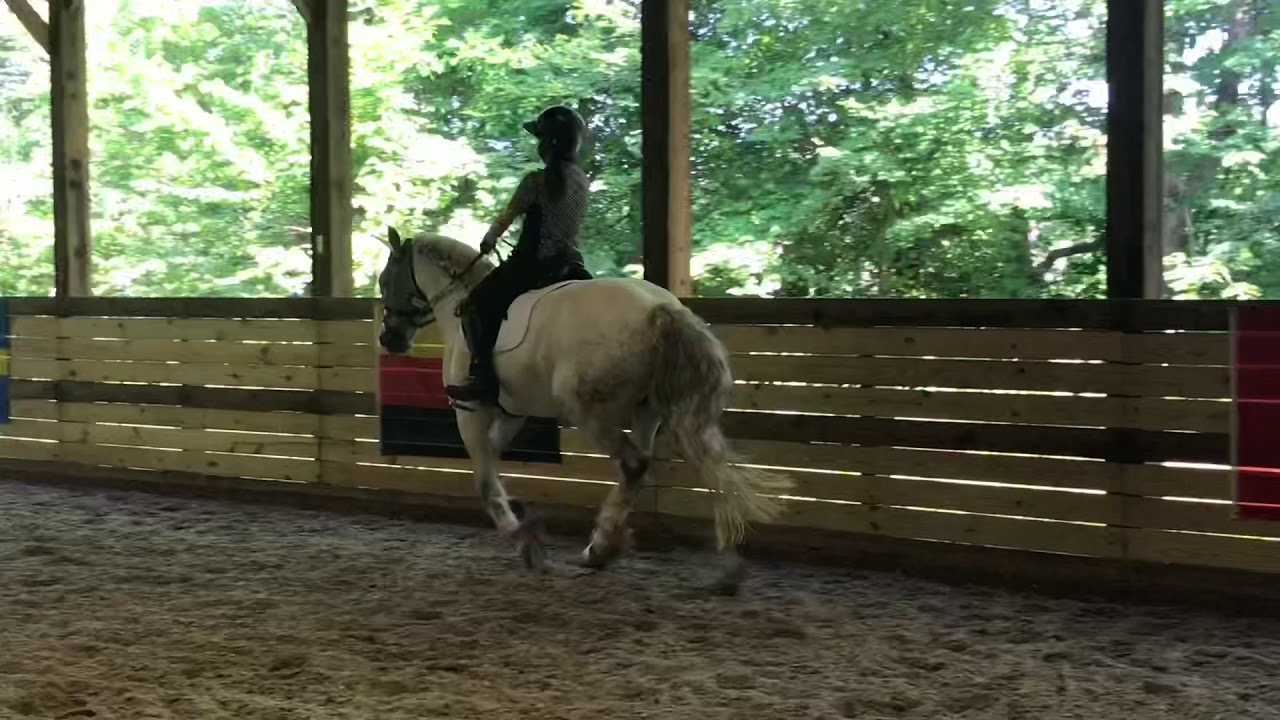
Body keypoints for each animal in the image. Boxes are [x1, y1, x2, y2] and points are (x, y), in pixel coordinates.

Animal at [376, 227, 792, 592]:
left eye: (383, 281)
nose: (389, 339)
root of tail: (660, 309)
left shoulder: (471, 411)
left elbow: (484, 481)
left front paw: (523, 536)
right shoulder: (512, 413)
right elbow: (493, 462)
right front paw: (524, 517)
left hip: (590, 411)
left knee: (633, 465)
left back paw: (604, 546)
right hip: (647, 412)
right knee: (658, 469)